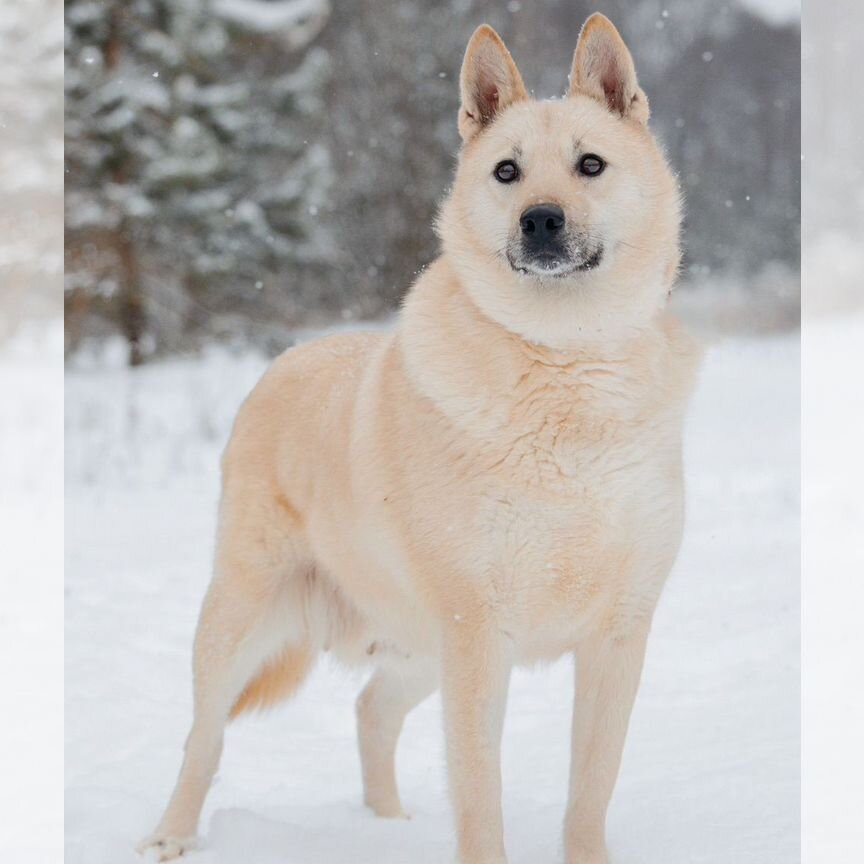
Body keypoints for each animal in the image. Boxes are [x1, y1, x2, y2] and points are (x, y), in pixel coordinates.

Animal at [140, 15, 704, 864]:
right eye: (506, 171)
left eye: (591, 165)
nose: (541, 219)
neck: (564, 364)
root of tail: (287, 359)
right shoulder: (478, 638)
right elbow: (479, 800)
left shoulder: (618, 637)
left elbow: (588, 796)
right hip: (244, 616)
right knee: (201, 738)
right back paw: (171, 837)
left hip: (416, 646)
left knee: (371, 709)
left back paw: (387, 825)